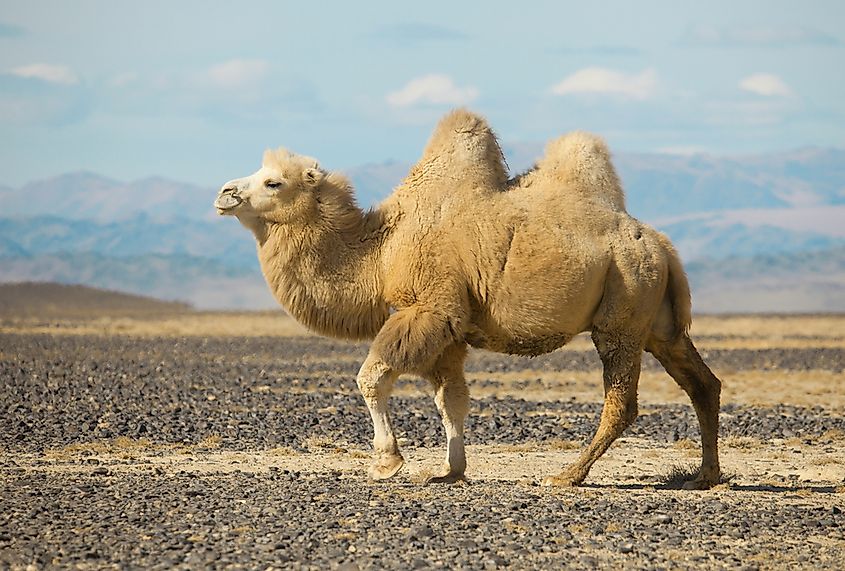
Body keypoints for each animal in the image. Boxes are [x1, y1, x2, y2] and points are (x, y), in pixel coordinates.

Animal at [214, 109, 722, 489]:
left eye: (274, 182)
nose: (225, 192)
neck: (382, 249)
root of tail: (662, 246)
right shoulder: (454, 328)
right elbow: (451, 398)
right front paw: (449, 470)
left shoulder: (430, 305)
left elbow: (372, 377)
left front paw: (386, 462)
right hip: (658, 323)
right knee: (703, 383)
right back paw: (704, 475)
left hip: (623, 309)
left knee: (622, 401)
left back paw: (567, 475)